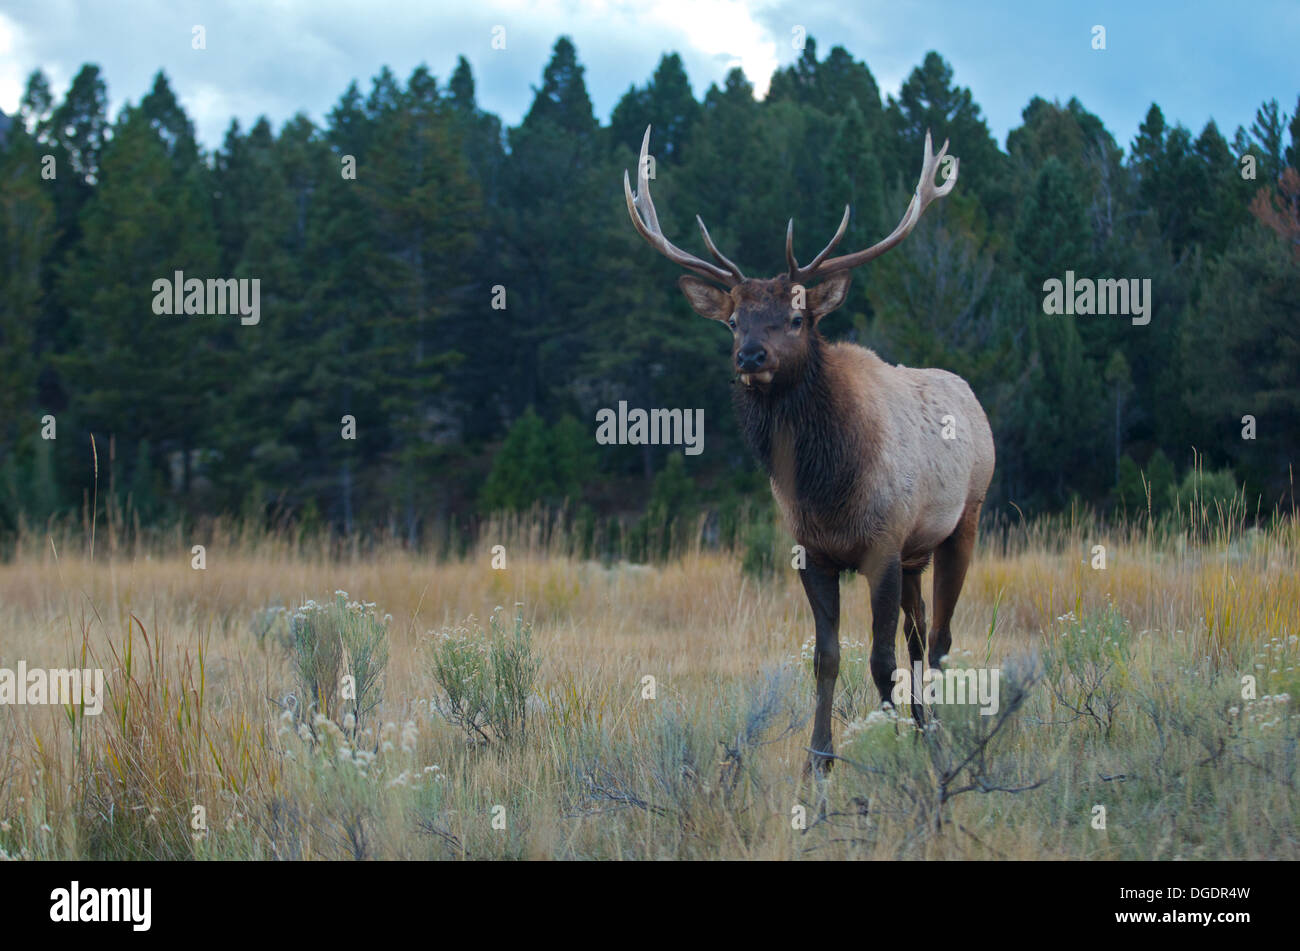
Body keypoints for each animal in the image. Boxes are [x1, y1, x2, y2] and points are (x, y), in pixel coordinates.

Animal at [623, 126, 995, 772]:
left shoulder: (882, 543)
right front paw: (819, 760)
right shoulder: (812, 553)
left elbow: (879, 660)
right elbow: (827, 658)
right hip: (916, 553)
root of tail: (972, 396)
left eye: (796, 318)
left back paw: (941, 734)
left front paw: (884, 749)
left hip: (963, 519)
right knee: (921, 632)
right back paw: (925, 726)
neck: (827, 485)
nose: (750, 356)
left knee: (941, 639)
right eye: (733, 320)